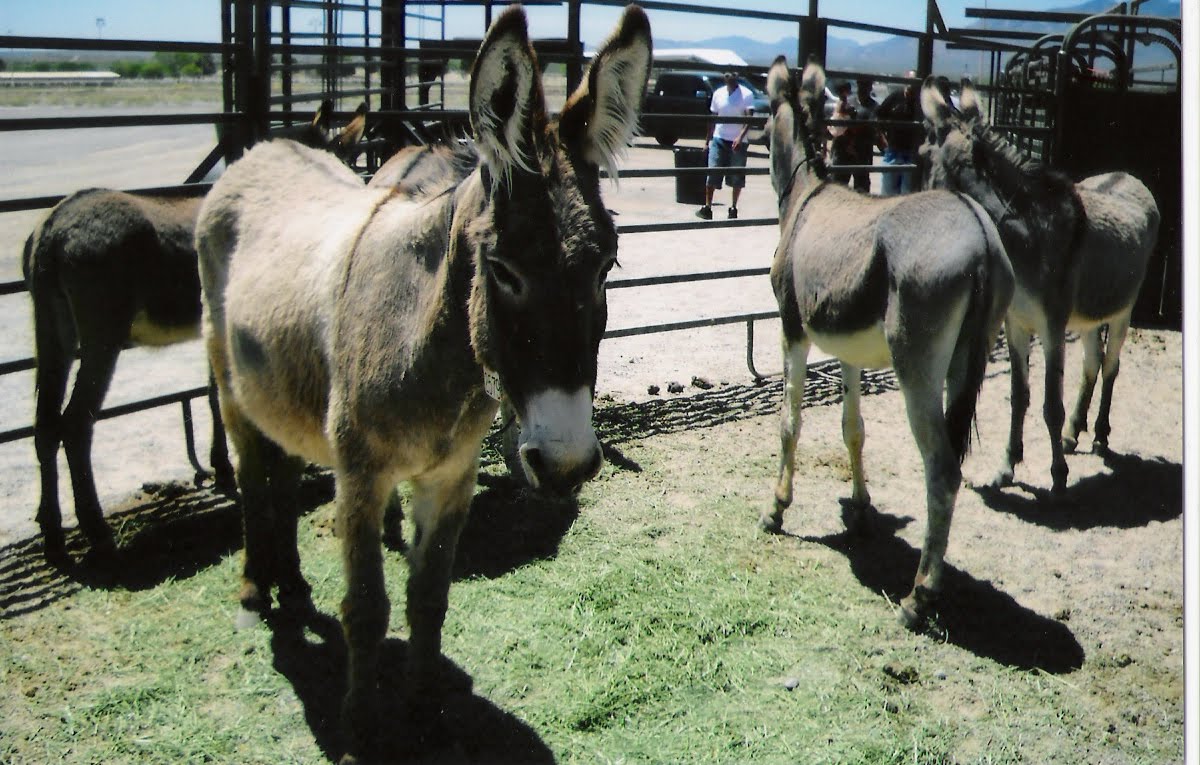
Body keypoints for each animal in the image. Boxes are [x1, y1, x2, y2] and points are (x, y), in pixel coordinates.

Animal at [24, 103, 364, 565]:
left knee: (44, 425)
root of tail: (54, 224)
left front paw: (222, 466)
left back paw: (53, 537)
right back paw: (97, 533)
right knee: (76, 424)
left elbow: (212, 394)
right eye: (341, 160)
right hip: (102, 336)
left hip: (51, 330)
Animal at [194, 6, 651, 759]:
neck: (434, 354)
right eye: (503, 269)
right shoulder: (360, 476)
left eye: (606, 264)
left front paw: (425, 706)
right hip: (230, 385)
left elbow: (429, 596)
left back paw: (291, 584)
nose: (564, 466)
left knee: (282, 476)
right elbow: (366, 607)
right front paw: (359, 727)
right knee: (255, 481)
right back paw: (256, 591)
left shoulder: (451, 474)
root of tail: (263, 149)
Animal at [761, 59, 1014, 627]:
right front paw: (861, 511)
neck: (807, 195)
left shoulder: (791, 330)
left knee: (941, 470)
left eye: (762, 121)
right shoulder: (849, 352)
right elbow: (852, 429)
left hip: (916, 369)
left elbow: (789, 422)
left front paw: (776, 508)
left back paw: (918, 597)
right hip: (967, 363)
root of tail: (981, 236)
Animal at [919, 78, 1159, 493]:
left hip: (1122, 311)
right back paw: (1073, 433)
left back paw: (1099, 435)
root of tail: (1126, 175)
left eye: (924, 158)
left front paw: (1058, 475)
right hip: (1086, 316)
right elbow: (1019, 397)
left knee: (1111, 366)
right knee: (1092, 363)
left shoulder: (1051, 327)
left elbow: (1050, 404)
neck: (1024, 241)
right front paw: (1007, 466)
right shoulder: (1016, 324)